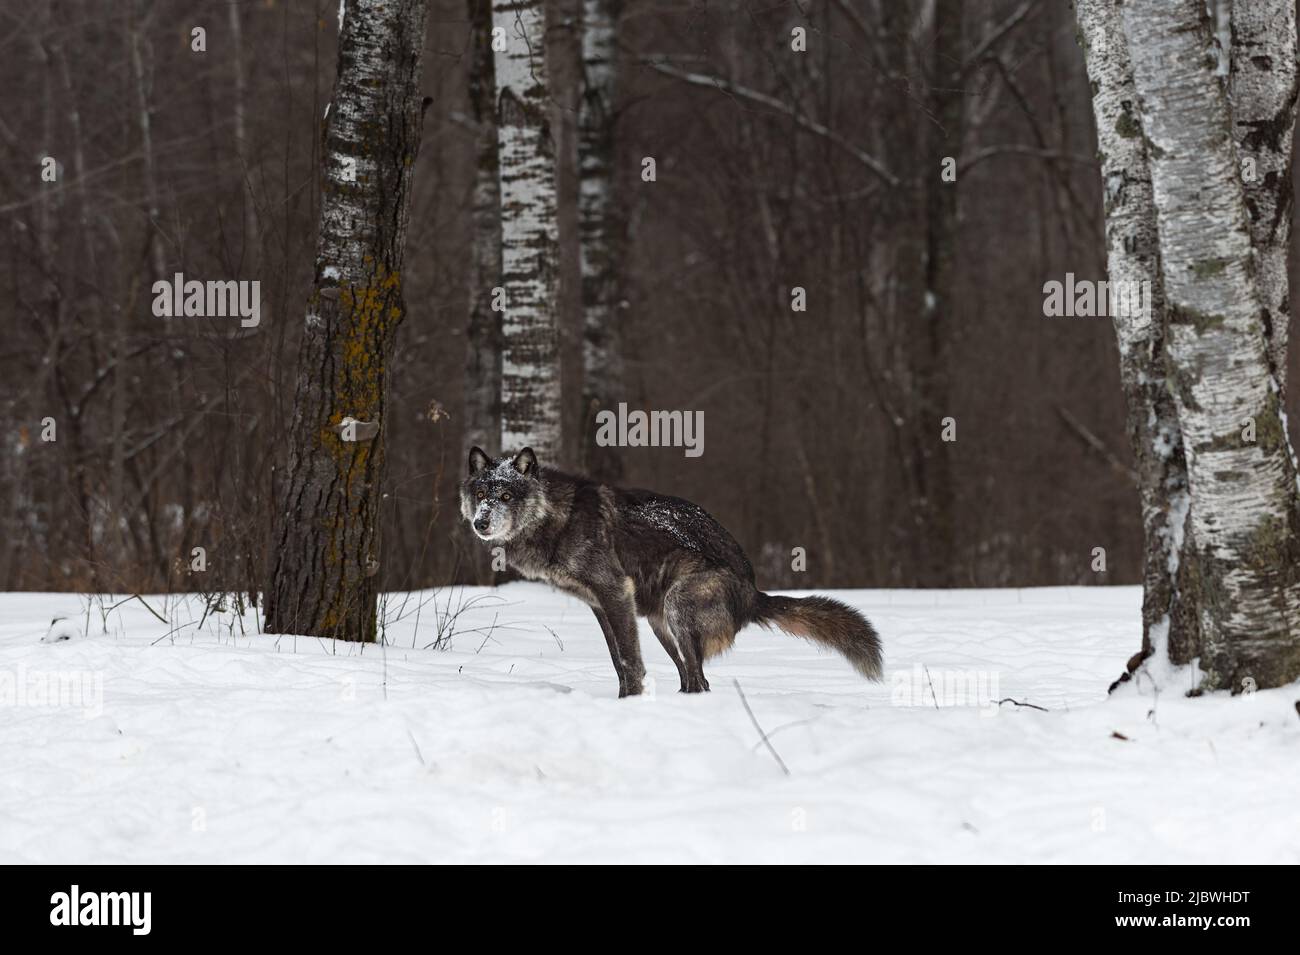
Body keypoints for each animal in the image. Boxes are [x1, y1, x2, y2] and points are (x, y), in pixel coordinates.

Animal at [460, 446, 883, 697]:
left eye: (505, 496)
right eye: (480, 495)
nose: (481, 523)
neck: (556, 519)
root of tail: (753, 593)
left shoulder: (615, 593)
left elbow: (630, 661)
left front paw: (630, 704)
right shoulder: (601, 605)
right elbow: (617, 660)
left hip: (679, 606)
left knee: (700, 679)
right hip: (656, 620)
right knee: (691, 676)